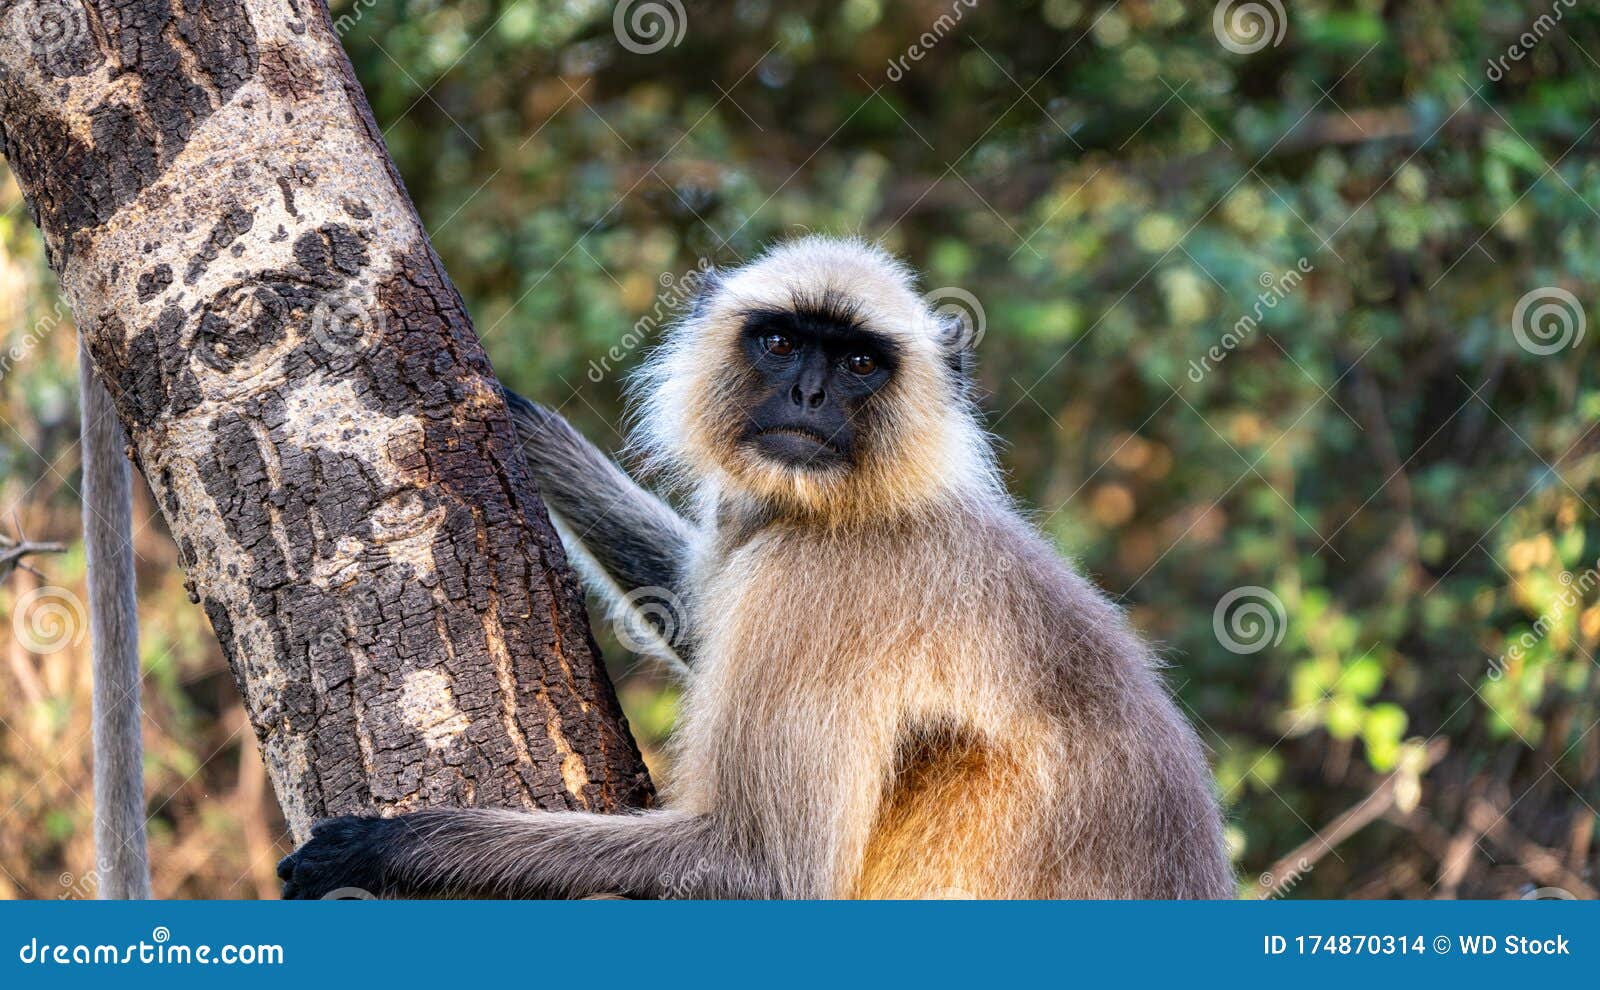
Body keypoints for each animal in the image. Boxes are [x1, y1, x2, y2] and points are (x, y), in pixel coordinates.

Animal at [277, 236, 1233, 899]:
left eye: (857, 362)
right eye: (779, 344)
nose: (808, 396)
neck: (861, 510)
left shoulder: (819, 583)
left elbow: (763, 869)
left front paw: (387, 848)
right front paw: (520, 420)